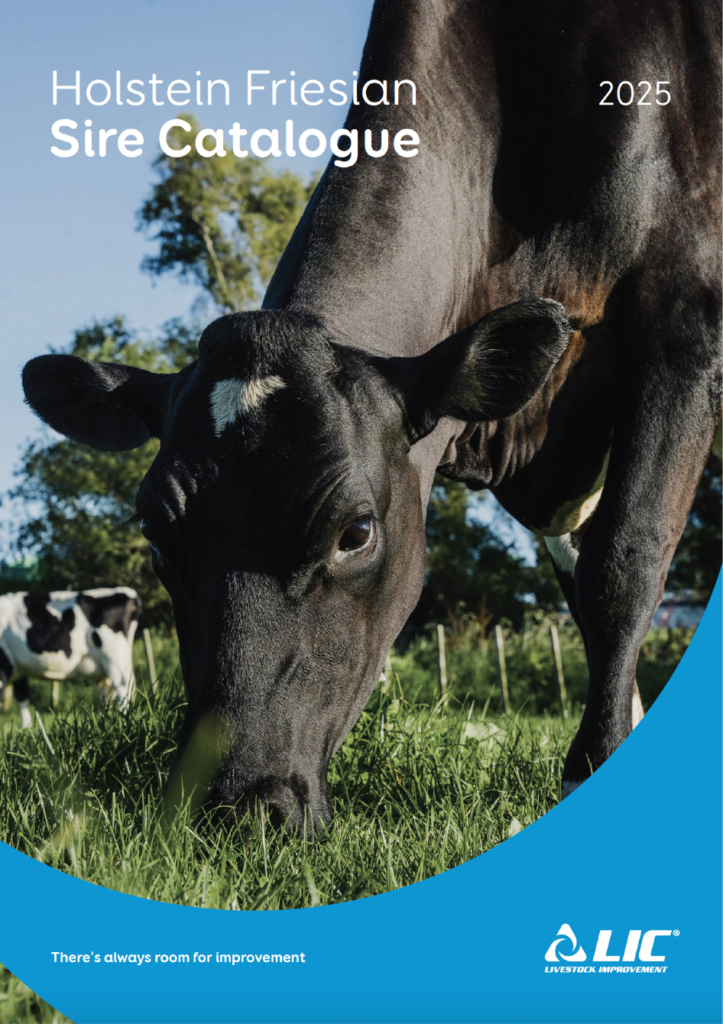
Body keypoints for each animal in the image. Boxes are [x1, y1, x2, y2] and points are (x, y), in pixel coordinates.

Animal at [0, 589, 140, 726]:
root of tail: (130, 594)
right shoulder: (19, 668)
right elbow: (22, 697)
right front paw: (27, 729)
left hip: (114, 659)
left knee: (123, 690)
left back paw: (124, 721)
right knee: (109, 693)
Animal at [20, 0, 723, 831]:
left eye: (355, 532)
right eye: (158, 542)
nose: (230, 806)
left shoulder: (684, 315)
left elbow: (624, 563)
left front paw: (596, 762)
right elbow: (584, 589)